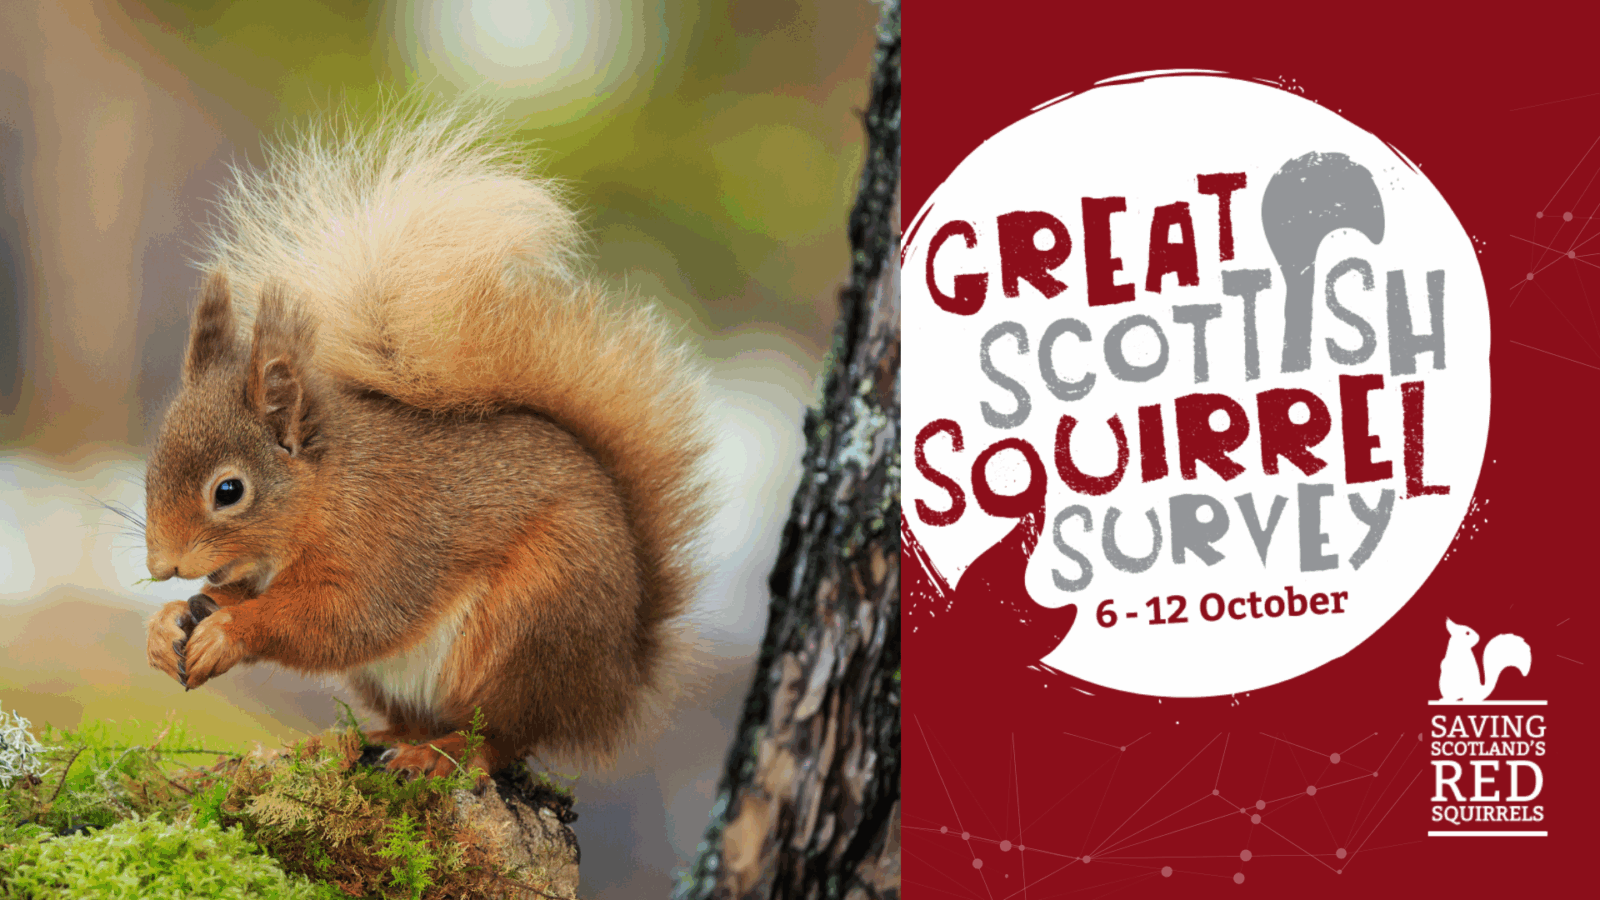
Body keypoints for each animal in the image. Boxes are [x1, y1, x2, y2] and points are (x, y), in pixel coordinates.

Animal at [140, 97, 715, 780]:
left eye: (228, 491)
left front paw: (228, 631)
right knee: (419, 719)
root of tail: (611, 687)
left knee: (505, 738)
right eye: (150, 468)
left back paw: (442, 755)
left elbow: (341, 619)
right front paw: (170, 622)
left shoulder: (386, 545)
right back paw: (348, 741)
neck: (327, 491)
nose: (161, 566)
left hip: (528, 626)